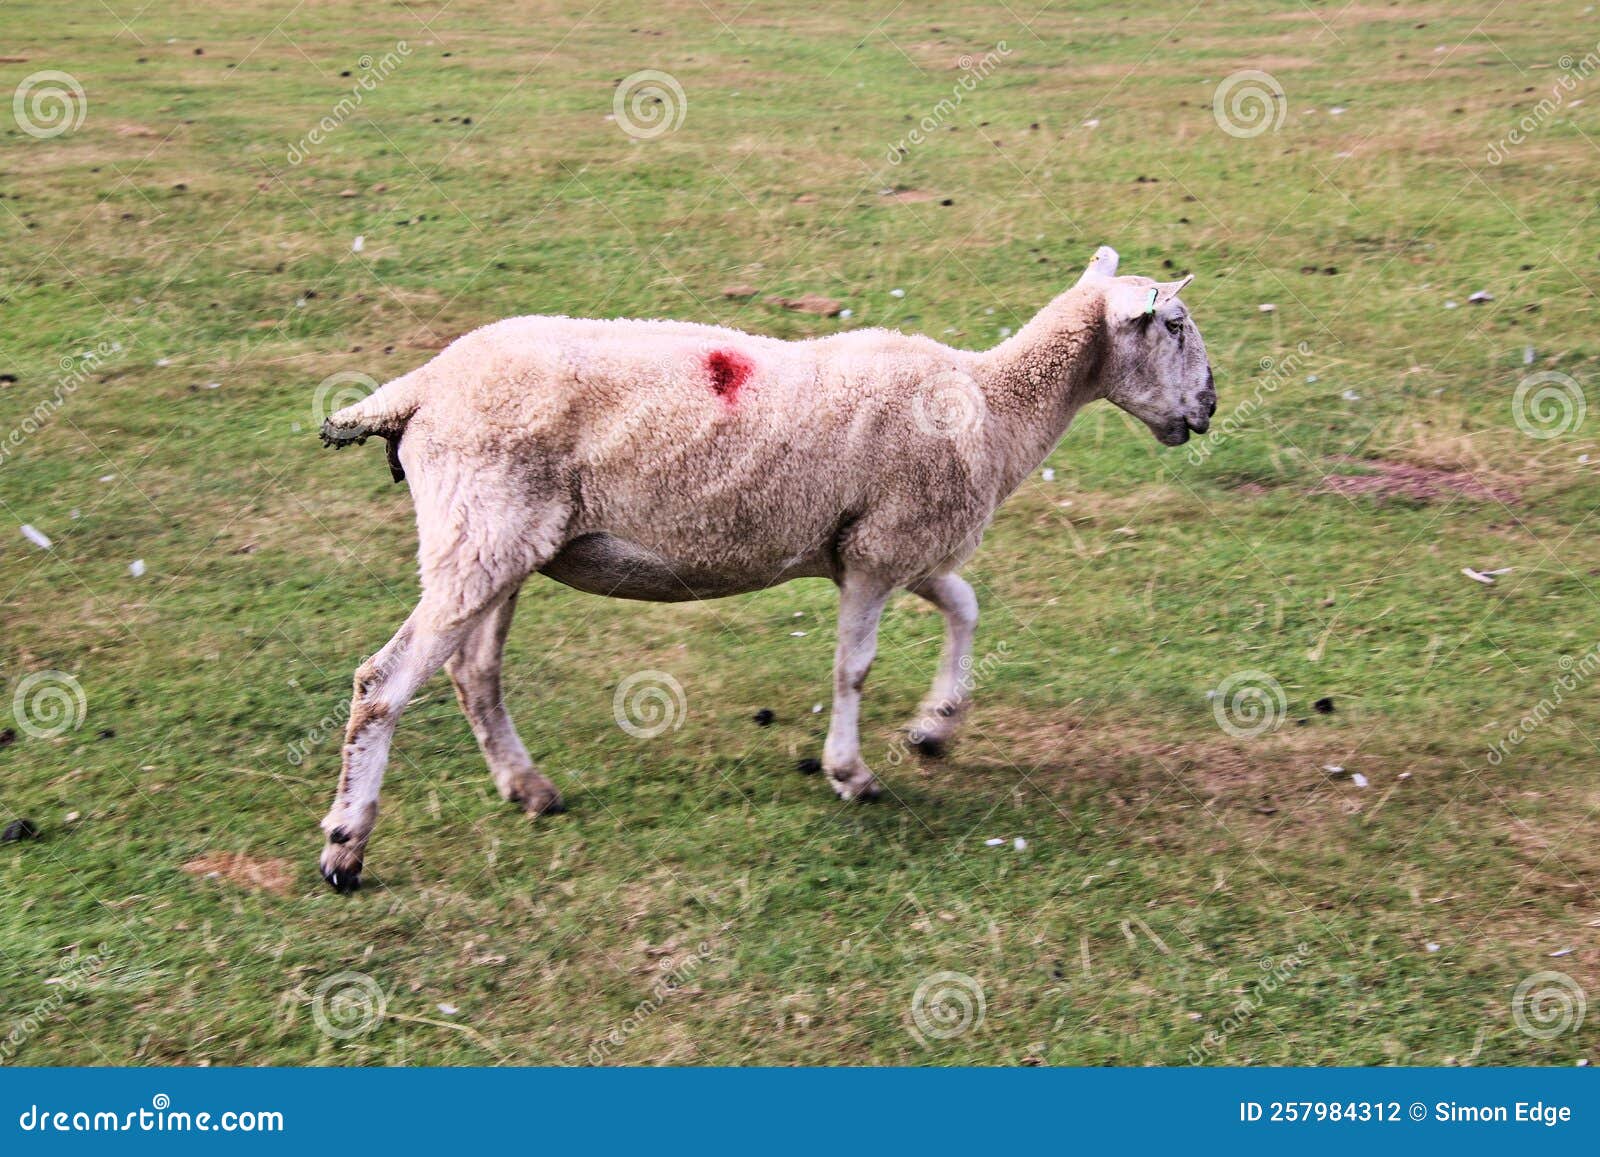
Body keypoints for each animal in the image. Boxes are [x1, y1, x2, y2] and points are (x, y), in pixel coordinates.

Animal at [314, 246, 1215, 891]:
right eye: (1172, 324)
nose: (1208, 404)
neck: (995, 403)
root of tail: (420, 386)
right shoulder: (880, 551)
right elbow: (854, 667)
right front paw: (852, 772)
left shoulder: (891, 545)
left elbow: (966, 605)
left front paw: (935, 725)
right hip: (481, 530)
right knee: (382, 682)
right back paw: (346, 847)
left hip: (501, 545)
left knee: (475, 672)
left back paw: (526, 785)